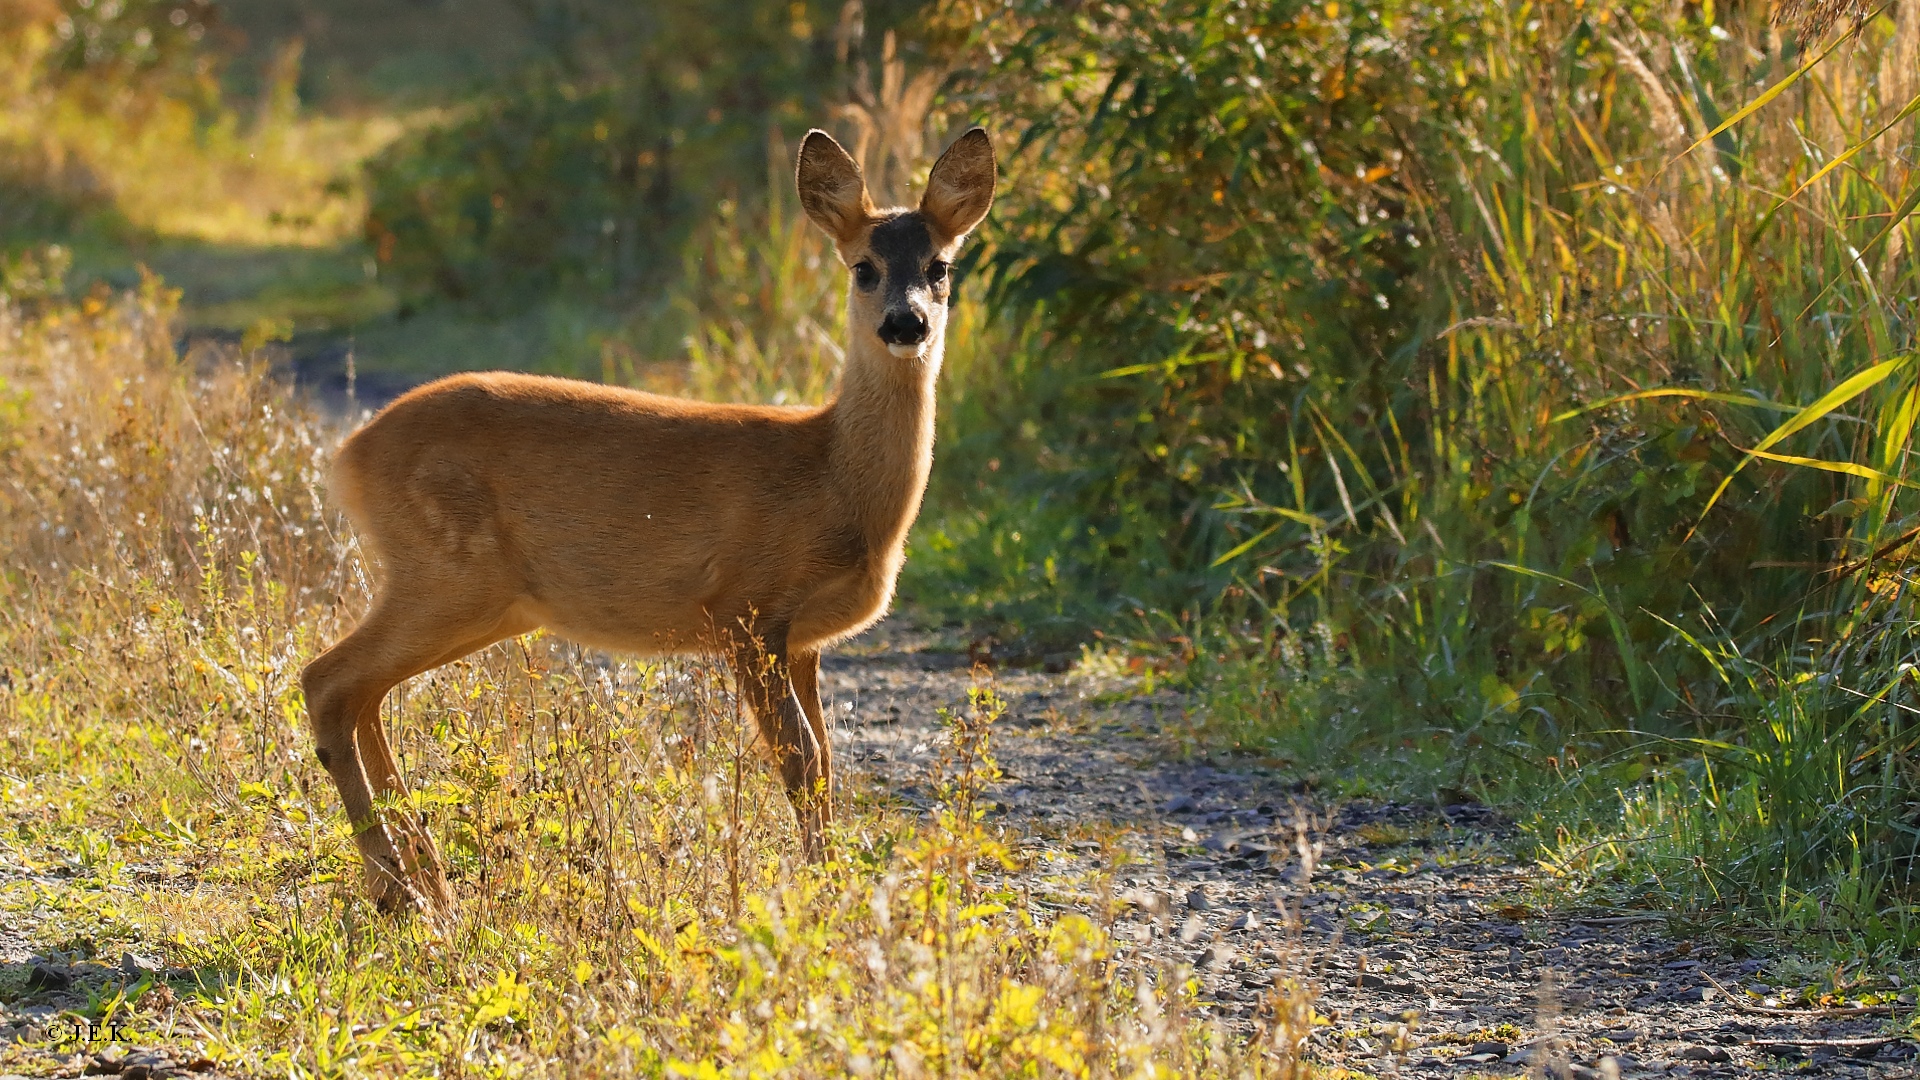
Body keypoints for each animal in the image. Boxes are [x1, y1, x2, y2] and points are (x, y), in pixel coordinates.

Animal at [300, 127, 995, 914]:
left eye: (940, 266)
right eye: (863, 269)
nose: (906, 323)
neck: (832, 475)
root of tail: (349, 457)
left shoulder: (805, 640)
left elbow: (824, 765)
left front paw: (836, 882)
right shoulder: (745, 608)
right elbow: (799, 759)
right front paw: (823, 893)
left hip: (484, 600)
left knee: (364, 694)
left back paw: (428, 881)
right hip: (445, 571)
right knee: (327, 681)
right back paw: (399, 893)